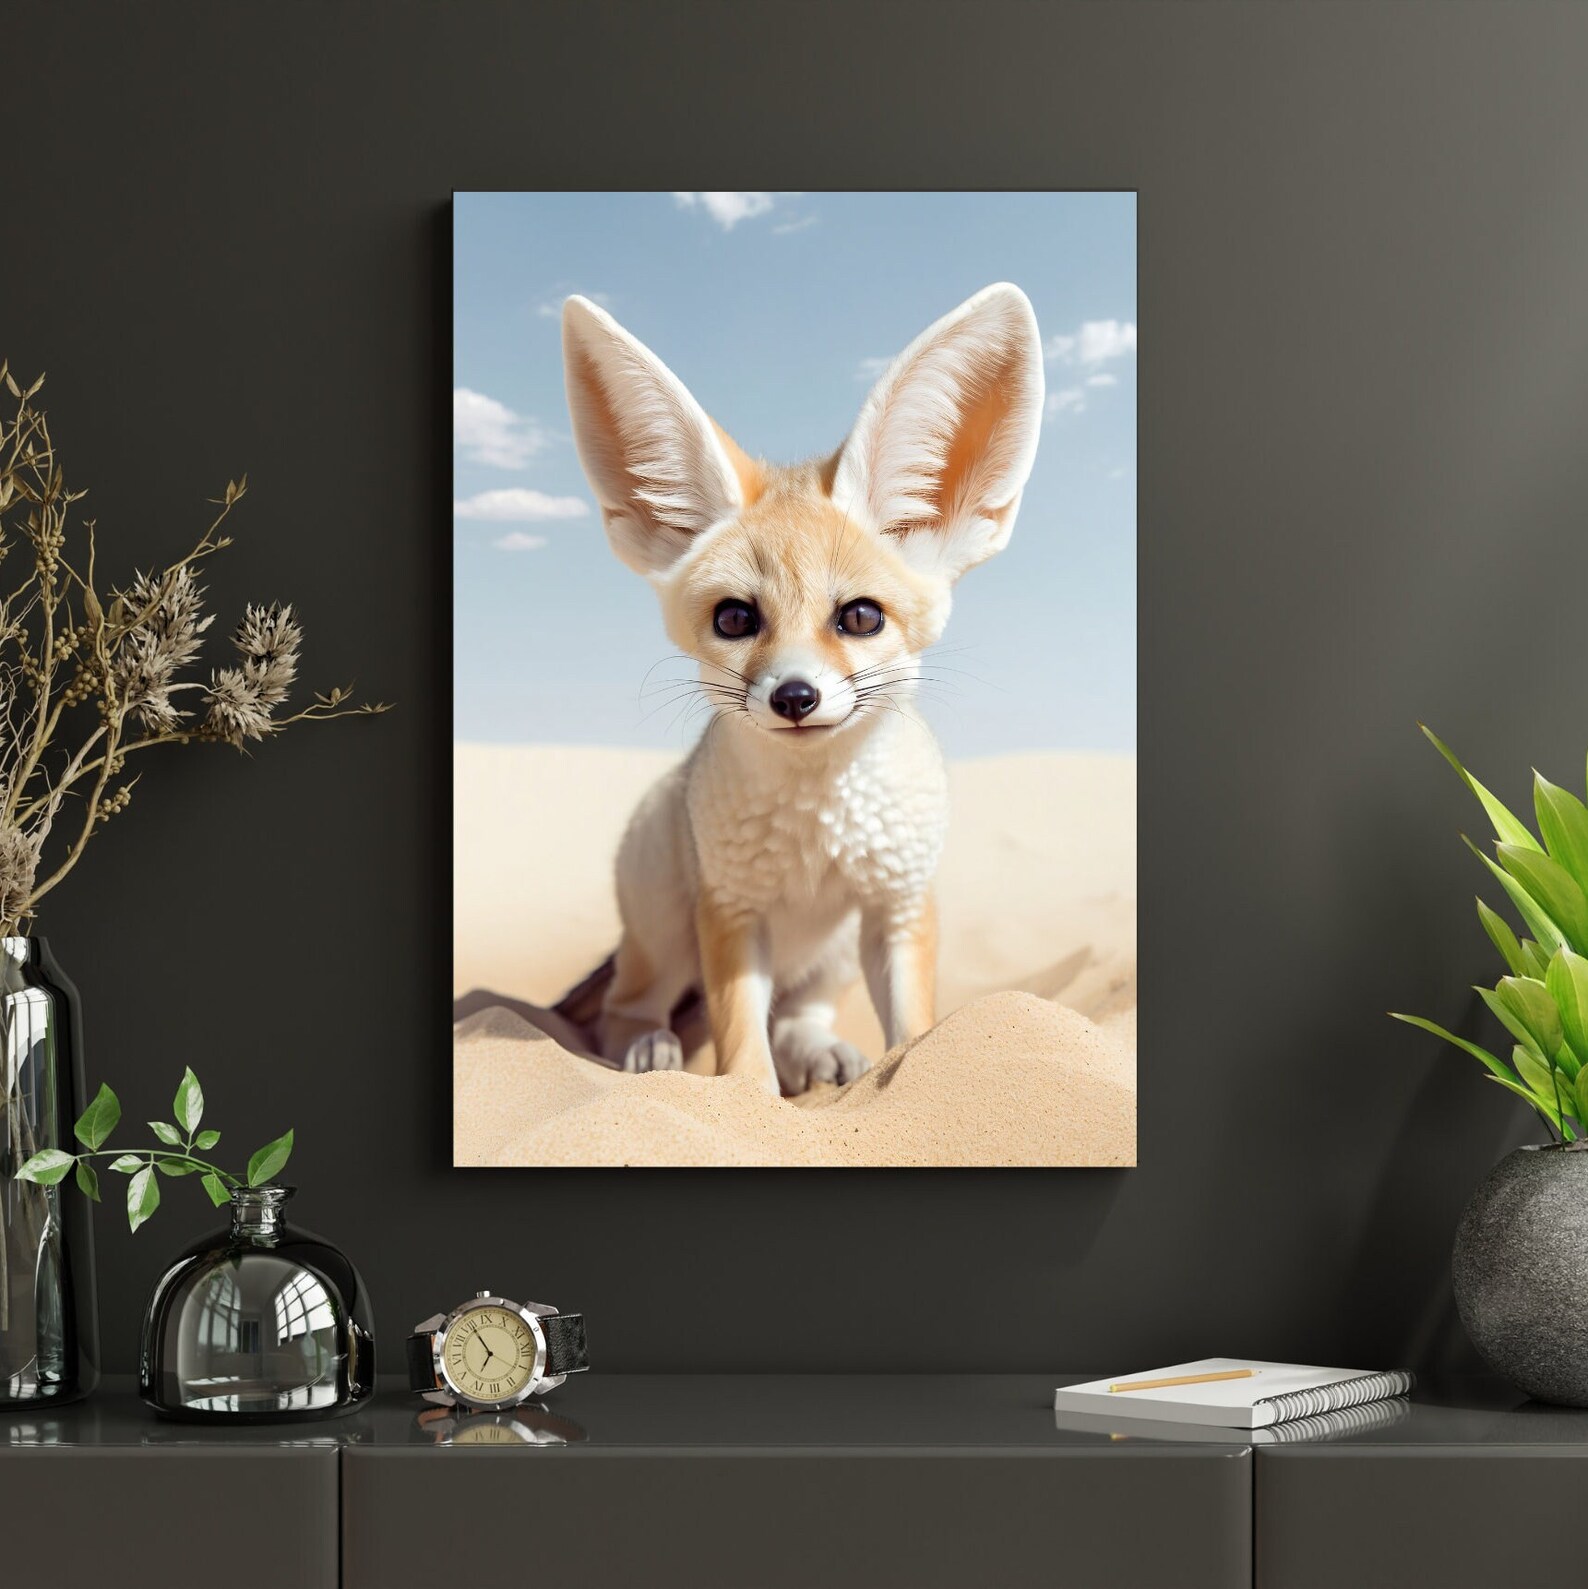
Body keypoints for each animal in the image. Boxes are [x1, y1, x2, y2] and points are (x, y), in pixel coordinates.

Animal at [558, 282, 1044, 1096]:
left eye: (860, 617)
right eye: (734, 618)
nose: (793, 698)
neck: (816, 832)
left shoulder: (899, 902)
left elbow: (913, 1035)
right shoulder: (729, 909)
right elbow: (742, 1056)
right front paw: (744, 1107)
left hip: (832, 954)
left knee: (796, 1017)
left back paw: (820, 1052)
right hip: (666, 920)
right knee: (625, 1006)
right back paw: (649, 1047)